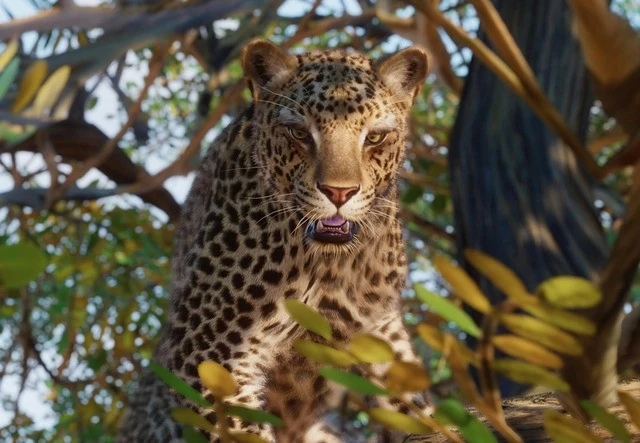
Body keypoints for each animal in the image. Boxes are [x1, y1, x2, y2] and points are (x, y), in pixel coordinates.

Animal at [118, 39, 429, 442]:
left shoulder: (380, 327)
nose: (339, 193)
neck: (330, 263)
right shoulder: (207, 350)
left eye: (375, 137)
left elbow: (412, 406)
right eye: (299, 133)